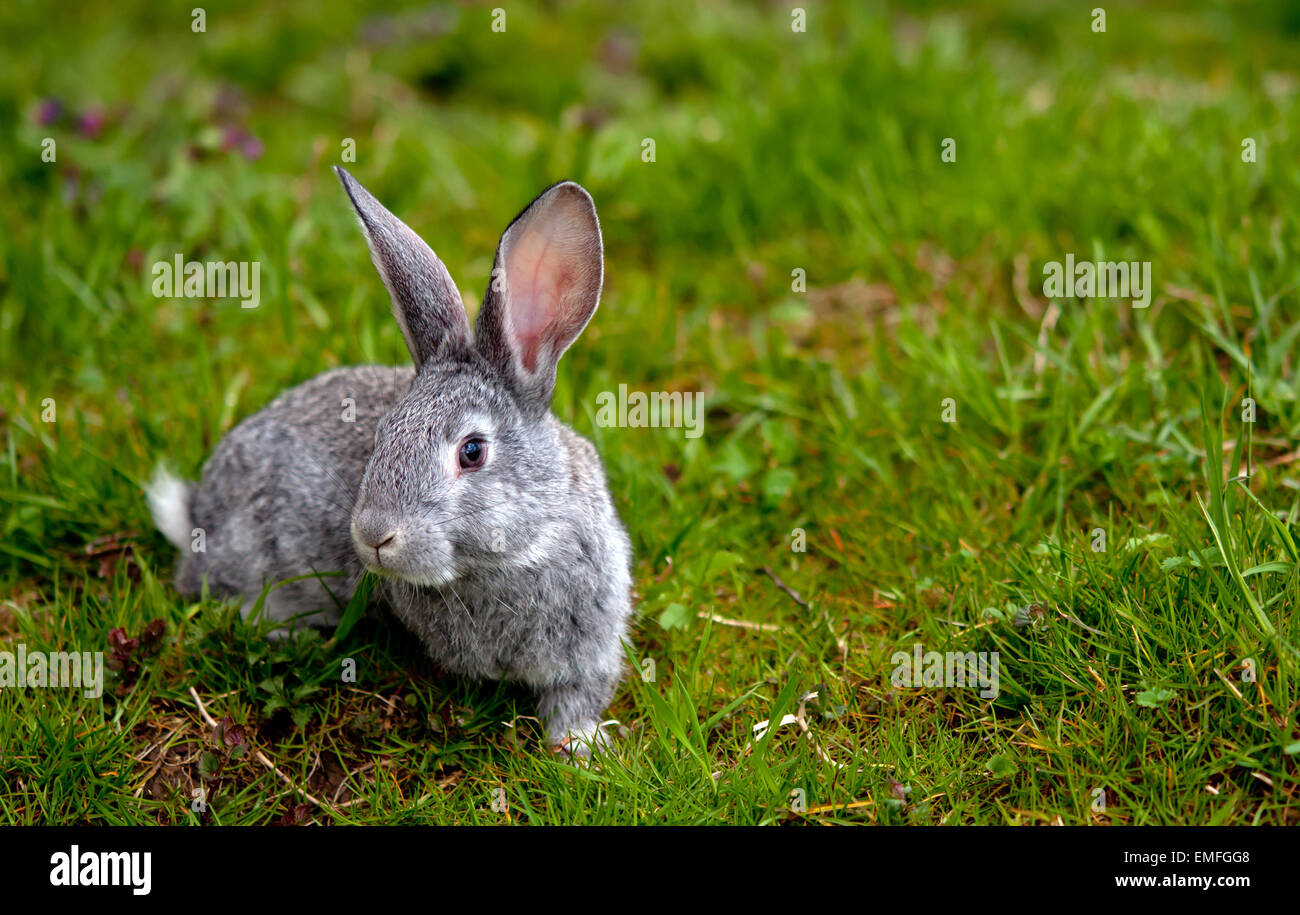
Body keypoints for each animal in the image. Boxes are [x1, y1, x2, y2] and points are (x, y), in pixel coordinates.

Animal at [147, 167, 633, 754]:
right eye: (381, 435)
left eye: (472, 451)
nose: (373, 536)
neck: (515, 556)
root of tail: (197, 512)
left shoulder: (592, 641)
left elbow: (578, 696)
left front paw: (582, 747)